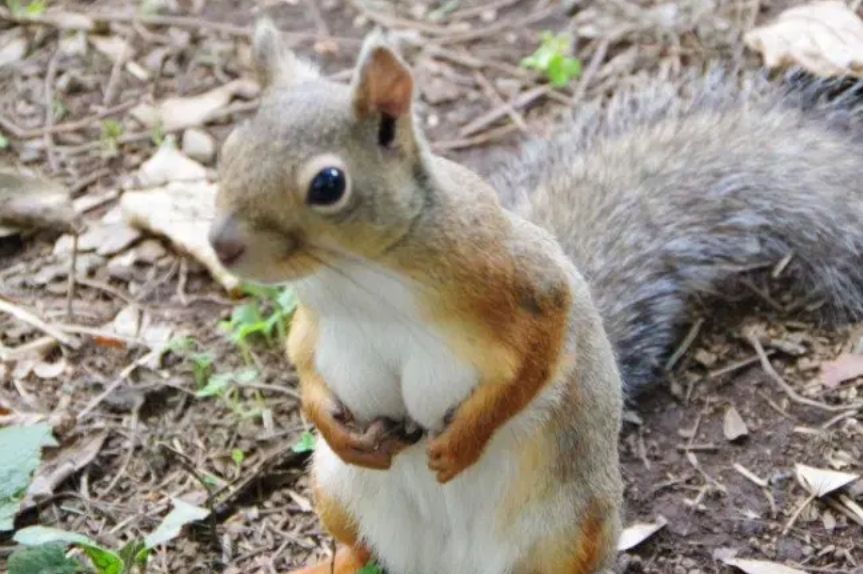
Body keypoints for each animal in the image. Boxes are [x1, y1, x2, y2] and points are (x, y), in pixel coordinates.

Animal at [208, 19, 863, 574]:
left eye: (328, 184)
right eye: (229, 148)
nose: (221, 244)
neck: (359, 277)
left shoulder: (521, 279)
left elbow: (540, 357)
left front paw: (465, 441)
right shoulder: (313, 318)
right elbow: (303, 359)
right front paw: (329, 419)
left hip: (571, 526)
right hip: (335, 488)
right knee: (355, 545)